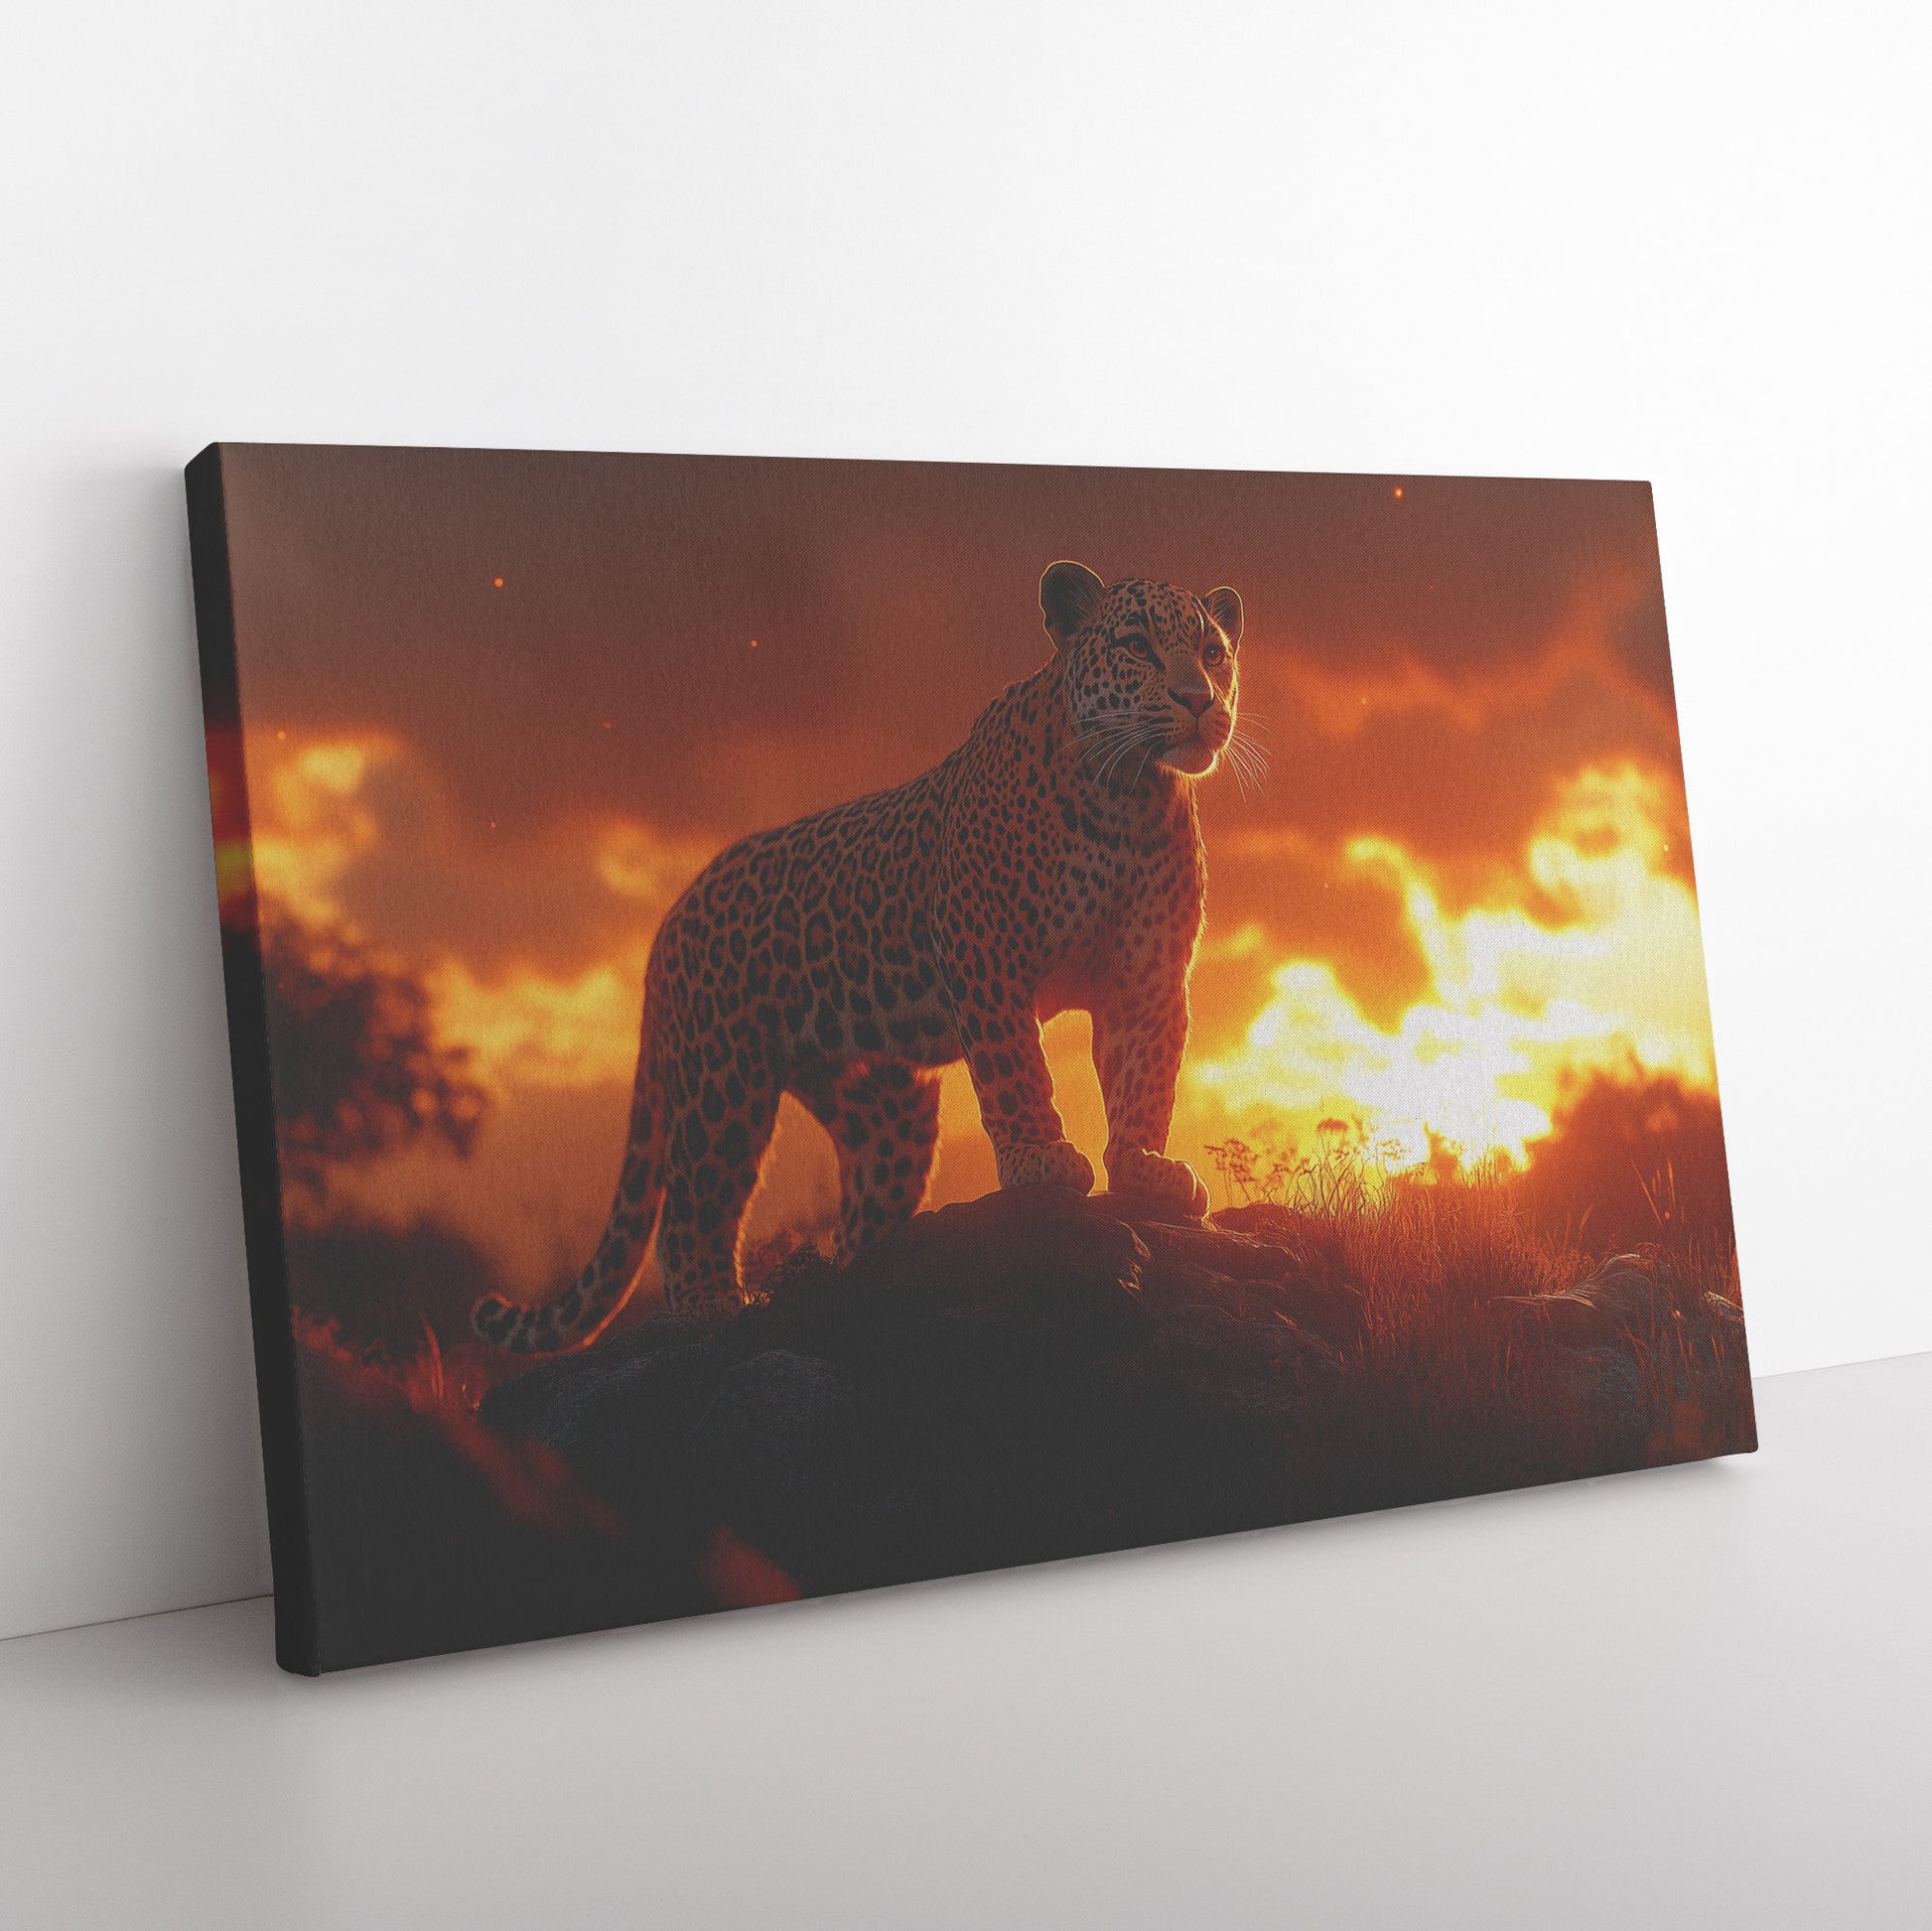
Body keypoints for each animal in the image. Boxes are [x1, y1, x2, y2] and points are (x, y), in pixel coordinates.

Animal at [473, 560, 1249, 1353]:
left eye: (1212, 652)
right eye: (1137, 646)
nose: (1199, 700)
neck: (1126, 793)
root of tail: (671, 920)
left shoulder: (1149, 977)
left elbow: (1145, 1079)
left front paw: (1145, 1168)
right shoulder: (985, 951)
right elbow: (1017, 1069)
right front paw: (1041, 1158)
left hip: (883, 1107)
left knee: (861, 1211)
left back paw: (854, 1276)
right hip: (723, 1079)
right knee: (692, 1204)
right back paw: (710, 1309)